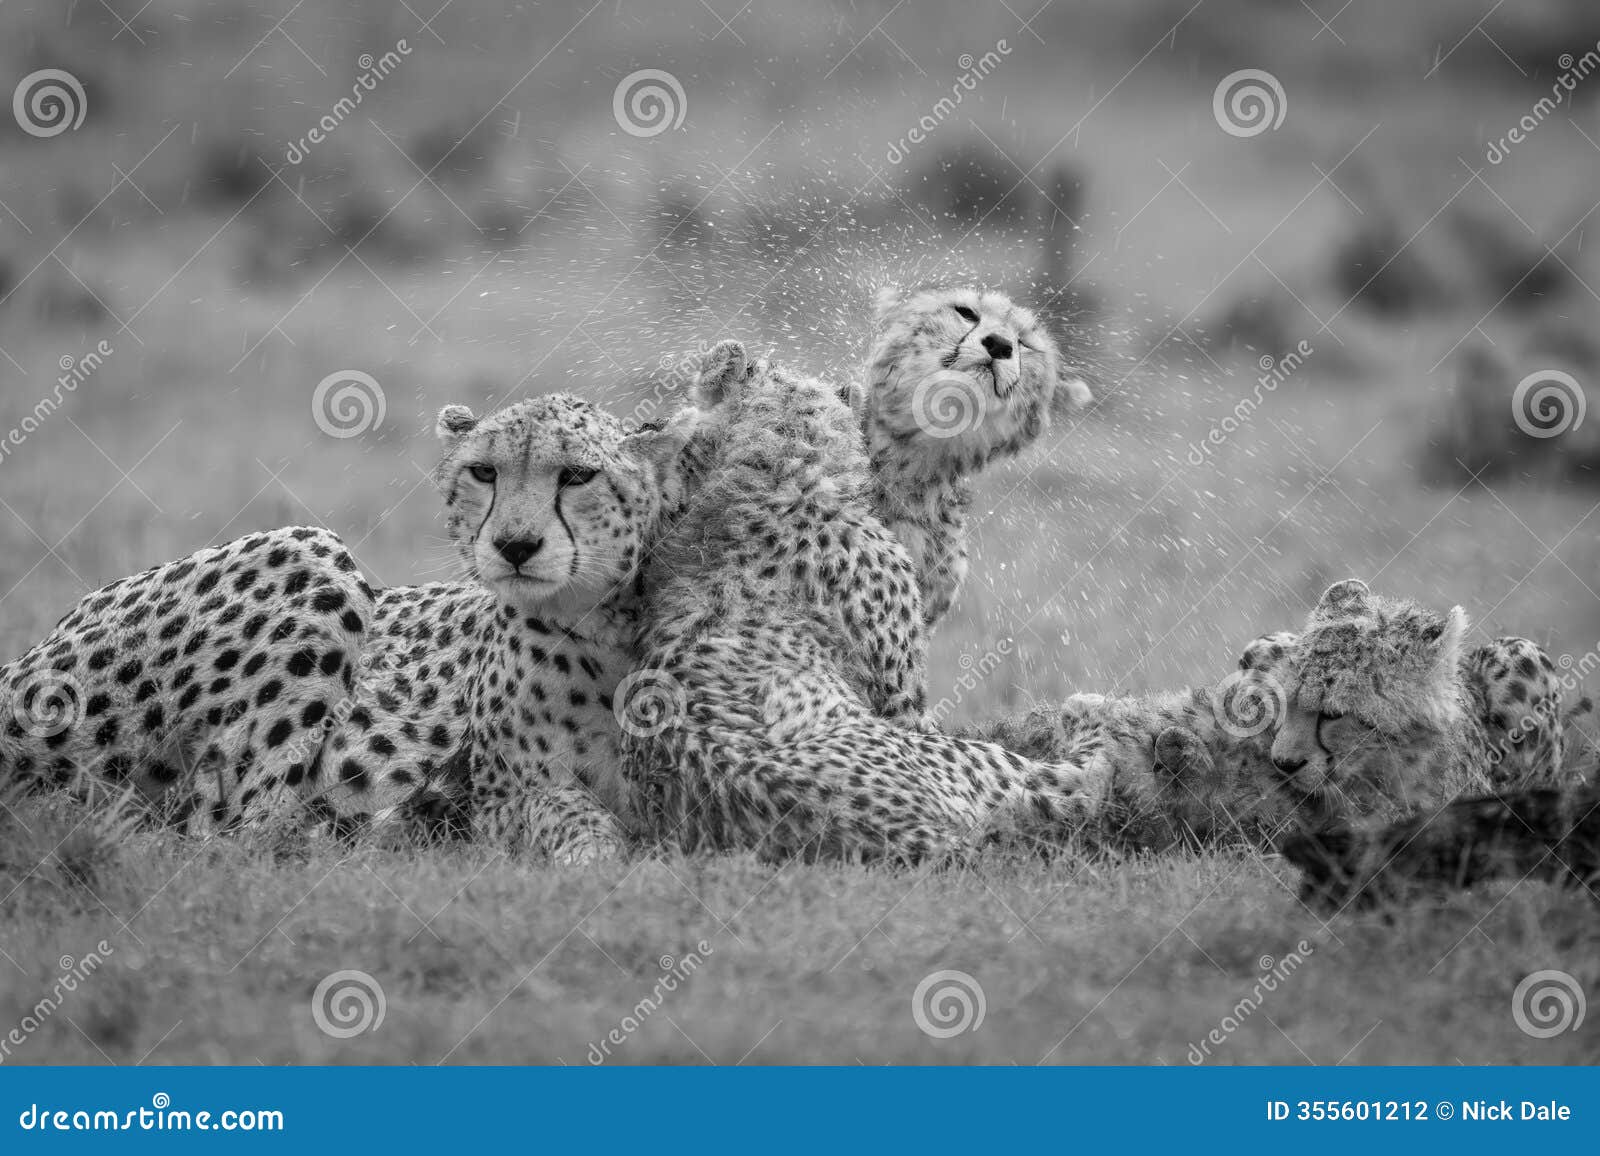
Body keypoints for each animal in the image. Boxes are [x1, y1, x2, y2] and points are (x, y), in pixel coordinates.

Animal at [623, 339, 1109, 864]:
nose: (649, 426)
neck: (782, 469)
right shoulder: (904, 704)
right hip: (973, 764)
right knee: (1075, 779)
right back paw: (1090, 714)